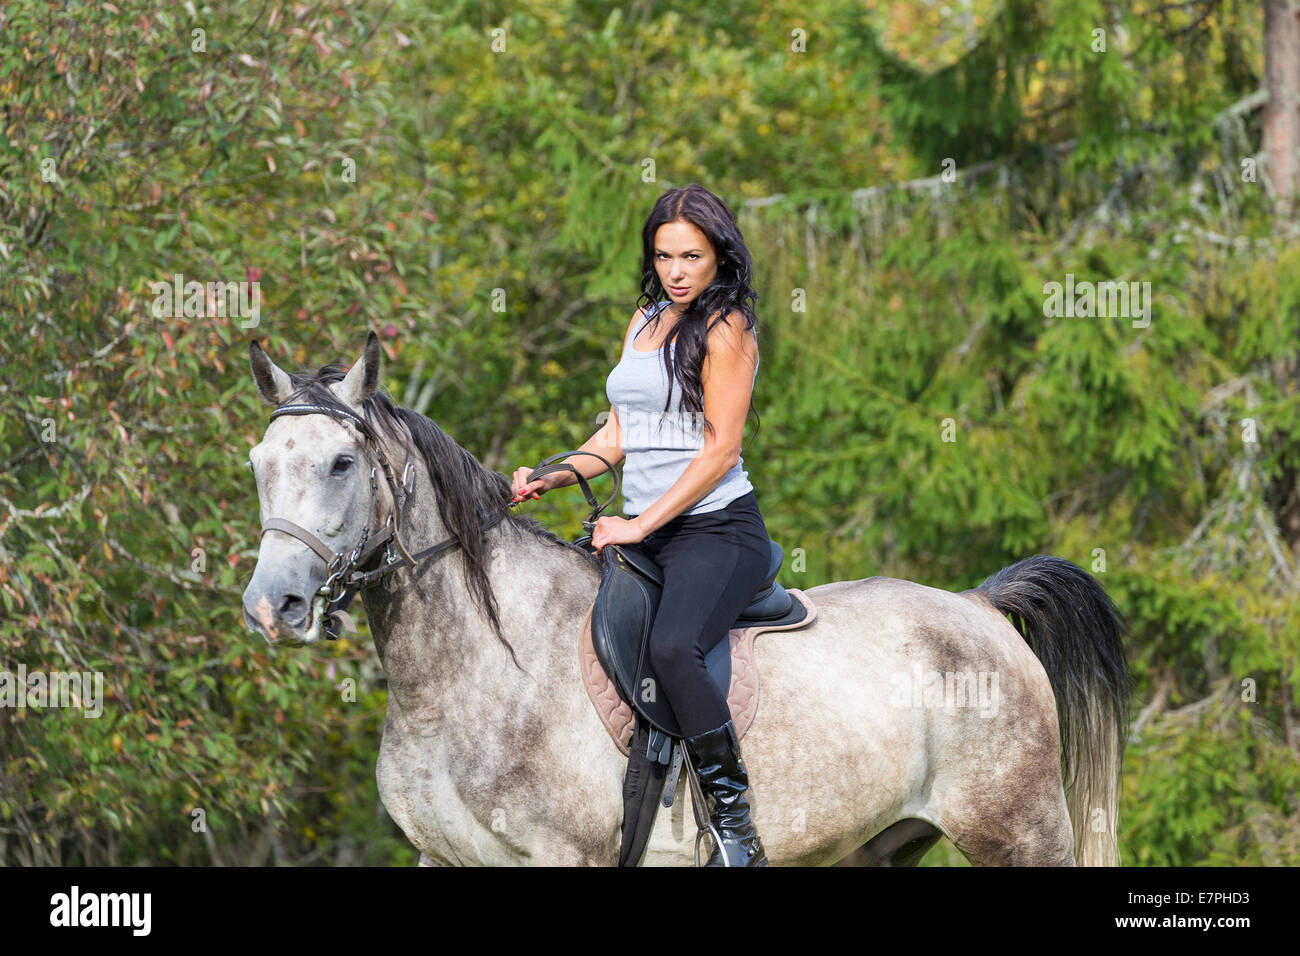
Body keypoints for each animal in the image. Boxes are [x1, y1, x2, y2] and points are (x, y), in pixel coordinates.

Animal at [241, 332, 1133, 866]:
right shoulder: (443, 856)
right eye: (259, 462)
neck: (475, 672)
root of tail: (980, 608)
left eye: (341, 464)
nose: (272, 607)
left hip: (1021, 836)